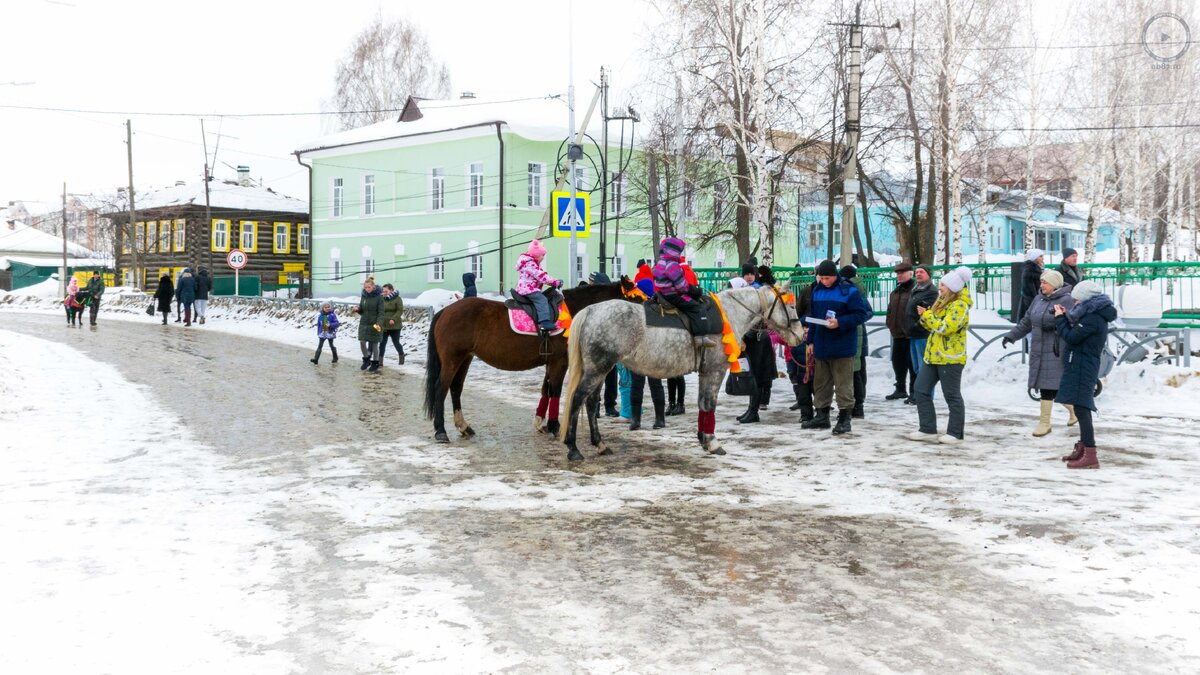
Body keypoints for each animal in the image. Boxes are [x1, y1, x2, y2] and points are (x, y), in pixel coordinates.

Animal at [424, 277, 648, 441]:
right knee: (441, 388)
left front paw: (541, 422)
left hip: (465, 359)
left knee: (456, 388)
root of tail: (445, 310)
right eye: (638, 300)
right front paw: (555, 425)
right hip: (453, 359)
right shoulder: (559, 362)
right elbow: (555, 391)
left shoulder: (550, 362)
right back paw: (440, 431)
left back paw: (463, 426)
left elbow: (545, 390)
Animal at [556, 283, 801, 461]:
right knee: (578, 400)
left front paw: (703, 439)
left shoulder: (705, 372)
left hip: (600, 370)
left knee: (590, 402)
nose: (801, 334)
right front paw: (712, 442)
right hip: (598, 369)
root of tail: (590, 310)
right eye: (790, 307)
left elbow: (703, 405)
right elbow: (709, 404)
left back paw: (600, 444)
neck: (729, 314)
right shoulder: (715, 371)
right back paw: (573, 449)